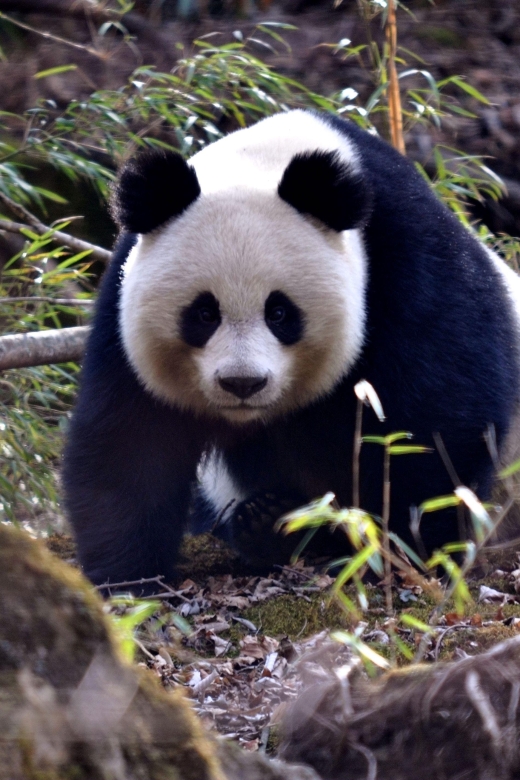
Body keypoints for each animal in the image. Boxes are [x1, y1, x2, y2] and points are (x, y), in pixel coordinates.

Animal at [63, 109, 520, 588]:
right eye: (204, 313)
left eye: (279, 312)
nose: (242, 383)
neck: (265, 159)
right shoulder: (121, 306)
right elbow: (131, 439)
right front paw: (127, 576)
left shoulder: (408, 263)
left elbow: (438, 418)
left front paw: (409, 547)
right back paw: (270, 523)